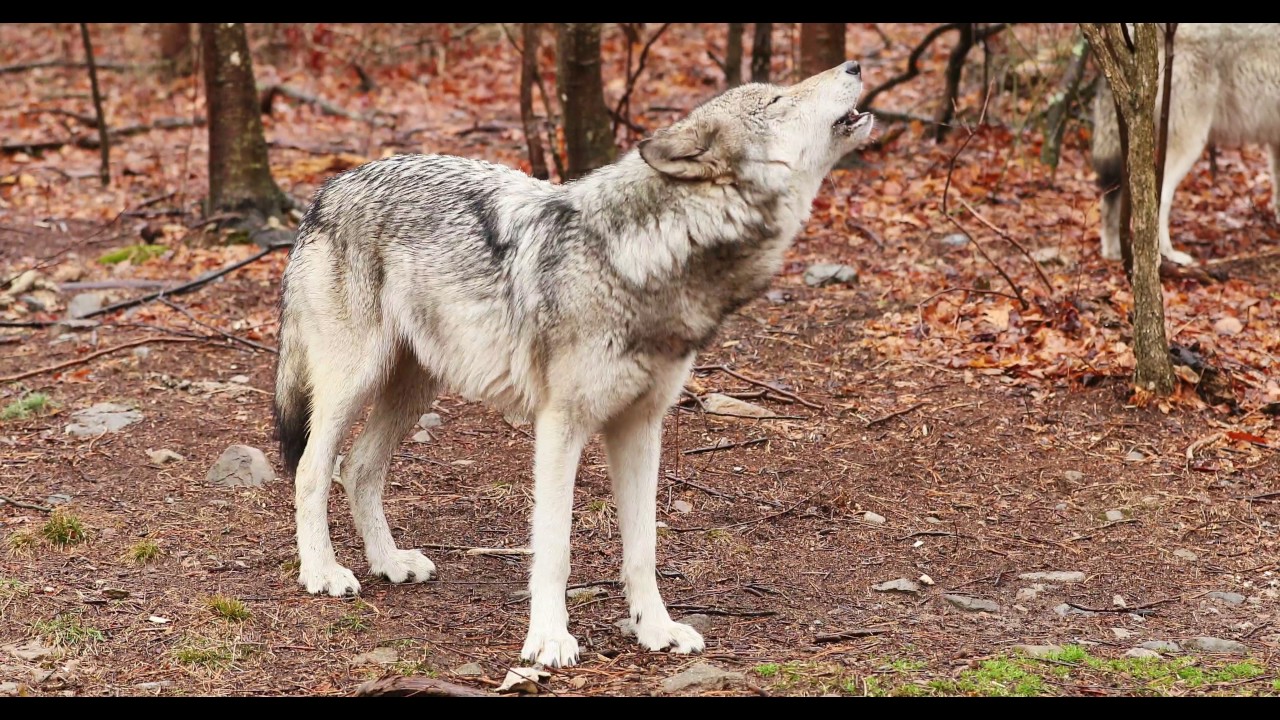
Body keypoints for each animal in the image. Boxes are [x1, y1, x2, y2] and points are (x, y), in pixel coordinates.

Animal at [273, 61, 873, 668]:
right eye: (776, 100)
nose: (853, 65)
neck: (650, 253)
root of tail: (329, 188)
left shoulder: (641, 426)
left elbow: (643, 548)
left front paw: (656, 630)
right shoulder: (560, 426)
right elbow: (555, 549)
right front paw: (549, 639)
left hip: (416, 389)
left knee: (359, 467)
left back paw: (390, 563)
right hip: (353, 382)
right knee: (312, 469)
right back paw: (322, 571)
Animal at [1092, 23, 1280, 266]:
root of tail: (1132, 38)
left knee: (1111, 200)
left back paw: (1114, 253)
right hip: (1189, 144)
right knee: (1157, 199)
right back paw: (1166, 255)